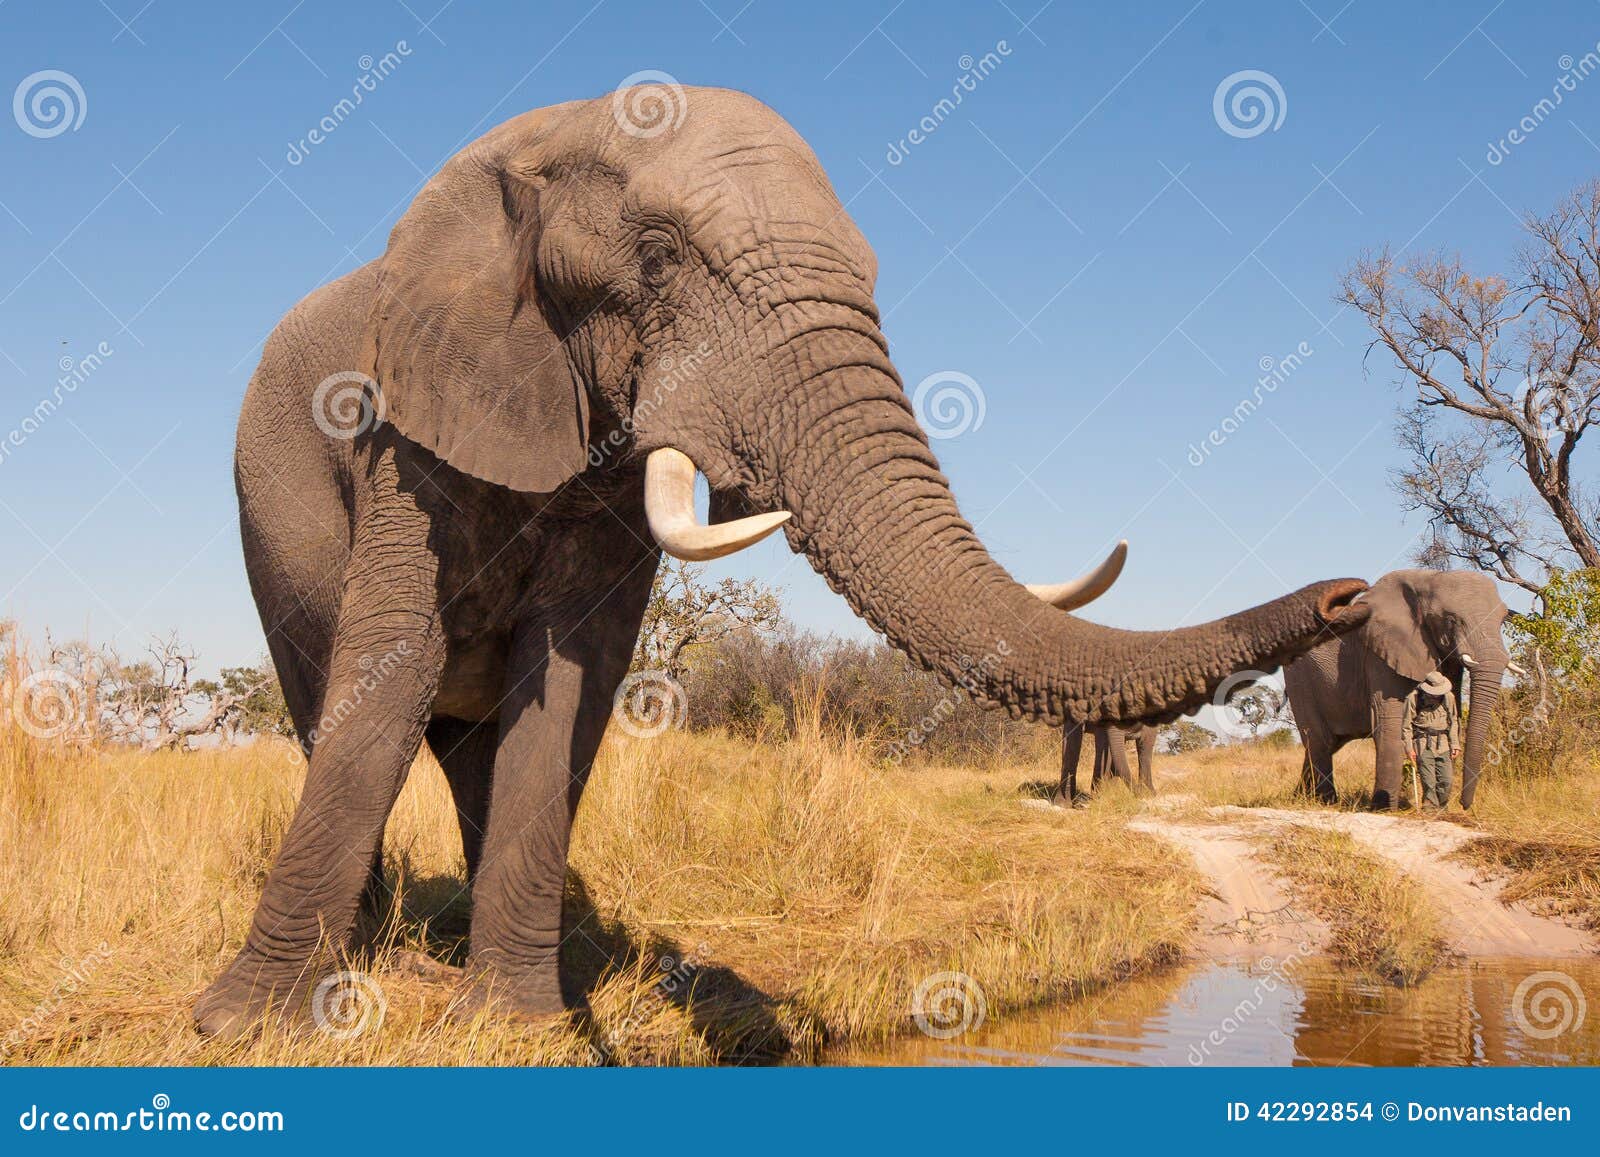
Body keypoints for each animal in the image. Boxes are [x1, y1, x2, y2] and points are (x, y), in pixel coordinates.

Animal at [198, 86, 1371, 1037]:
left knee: (475, 746)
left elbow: (567, 686)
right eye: (660, 255)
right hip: (268, 515)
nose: (1349, 594)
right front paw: (250, 1027)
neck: (546, 136)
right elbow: (391, 672)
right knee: (329, 699)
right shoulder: (407, 426)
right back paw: (364, 944)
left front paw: (517, 1023)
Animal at [1282, 569, 1521, 810]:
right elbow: (1390, 722)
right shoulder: (1380, 654)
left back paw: (1299, 797)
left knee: (1328, 744)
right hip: (1299, 679)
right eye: (1451, 620)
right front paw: (1383, 808)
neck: (1428, 579)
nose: (1464, 805)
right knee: (1319, 741)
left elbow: (1450, 716)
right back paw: (1326, 801)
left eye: (1503, 619)